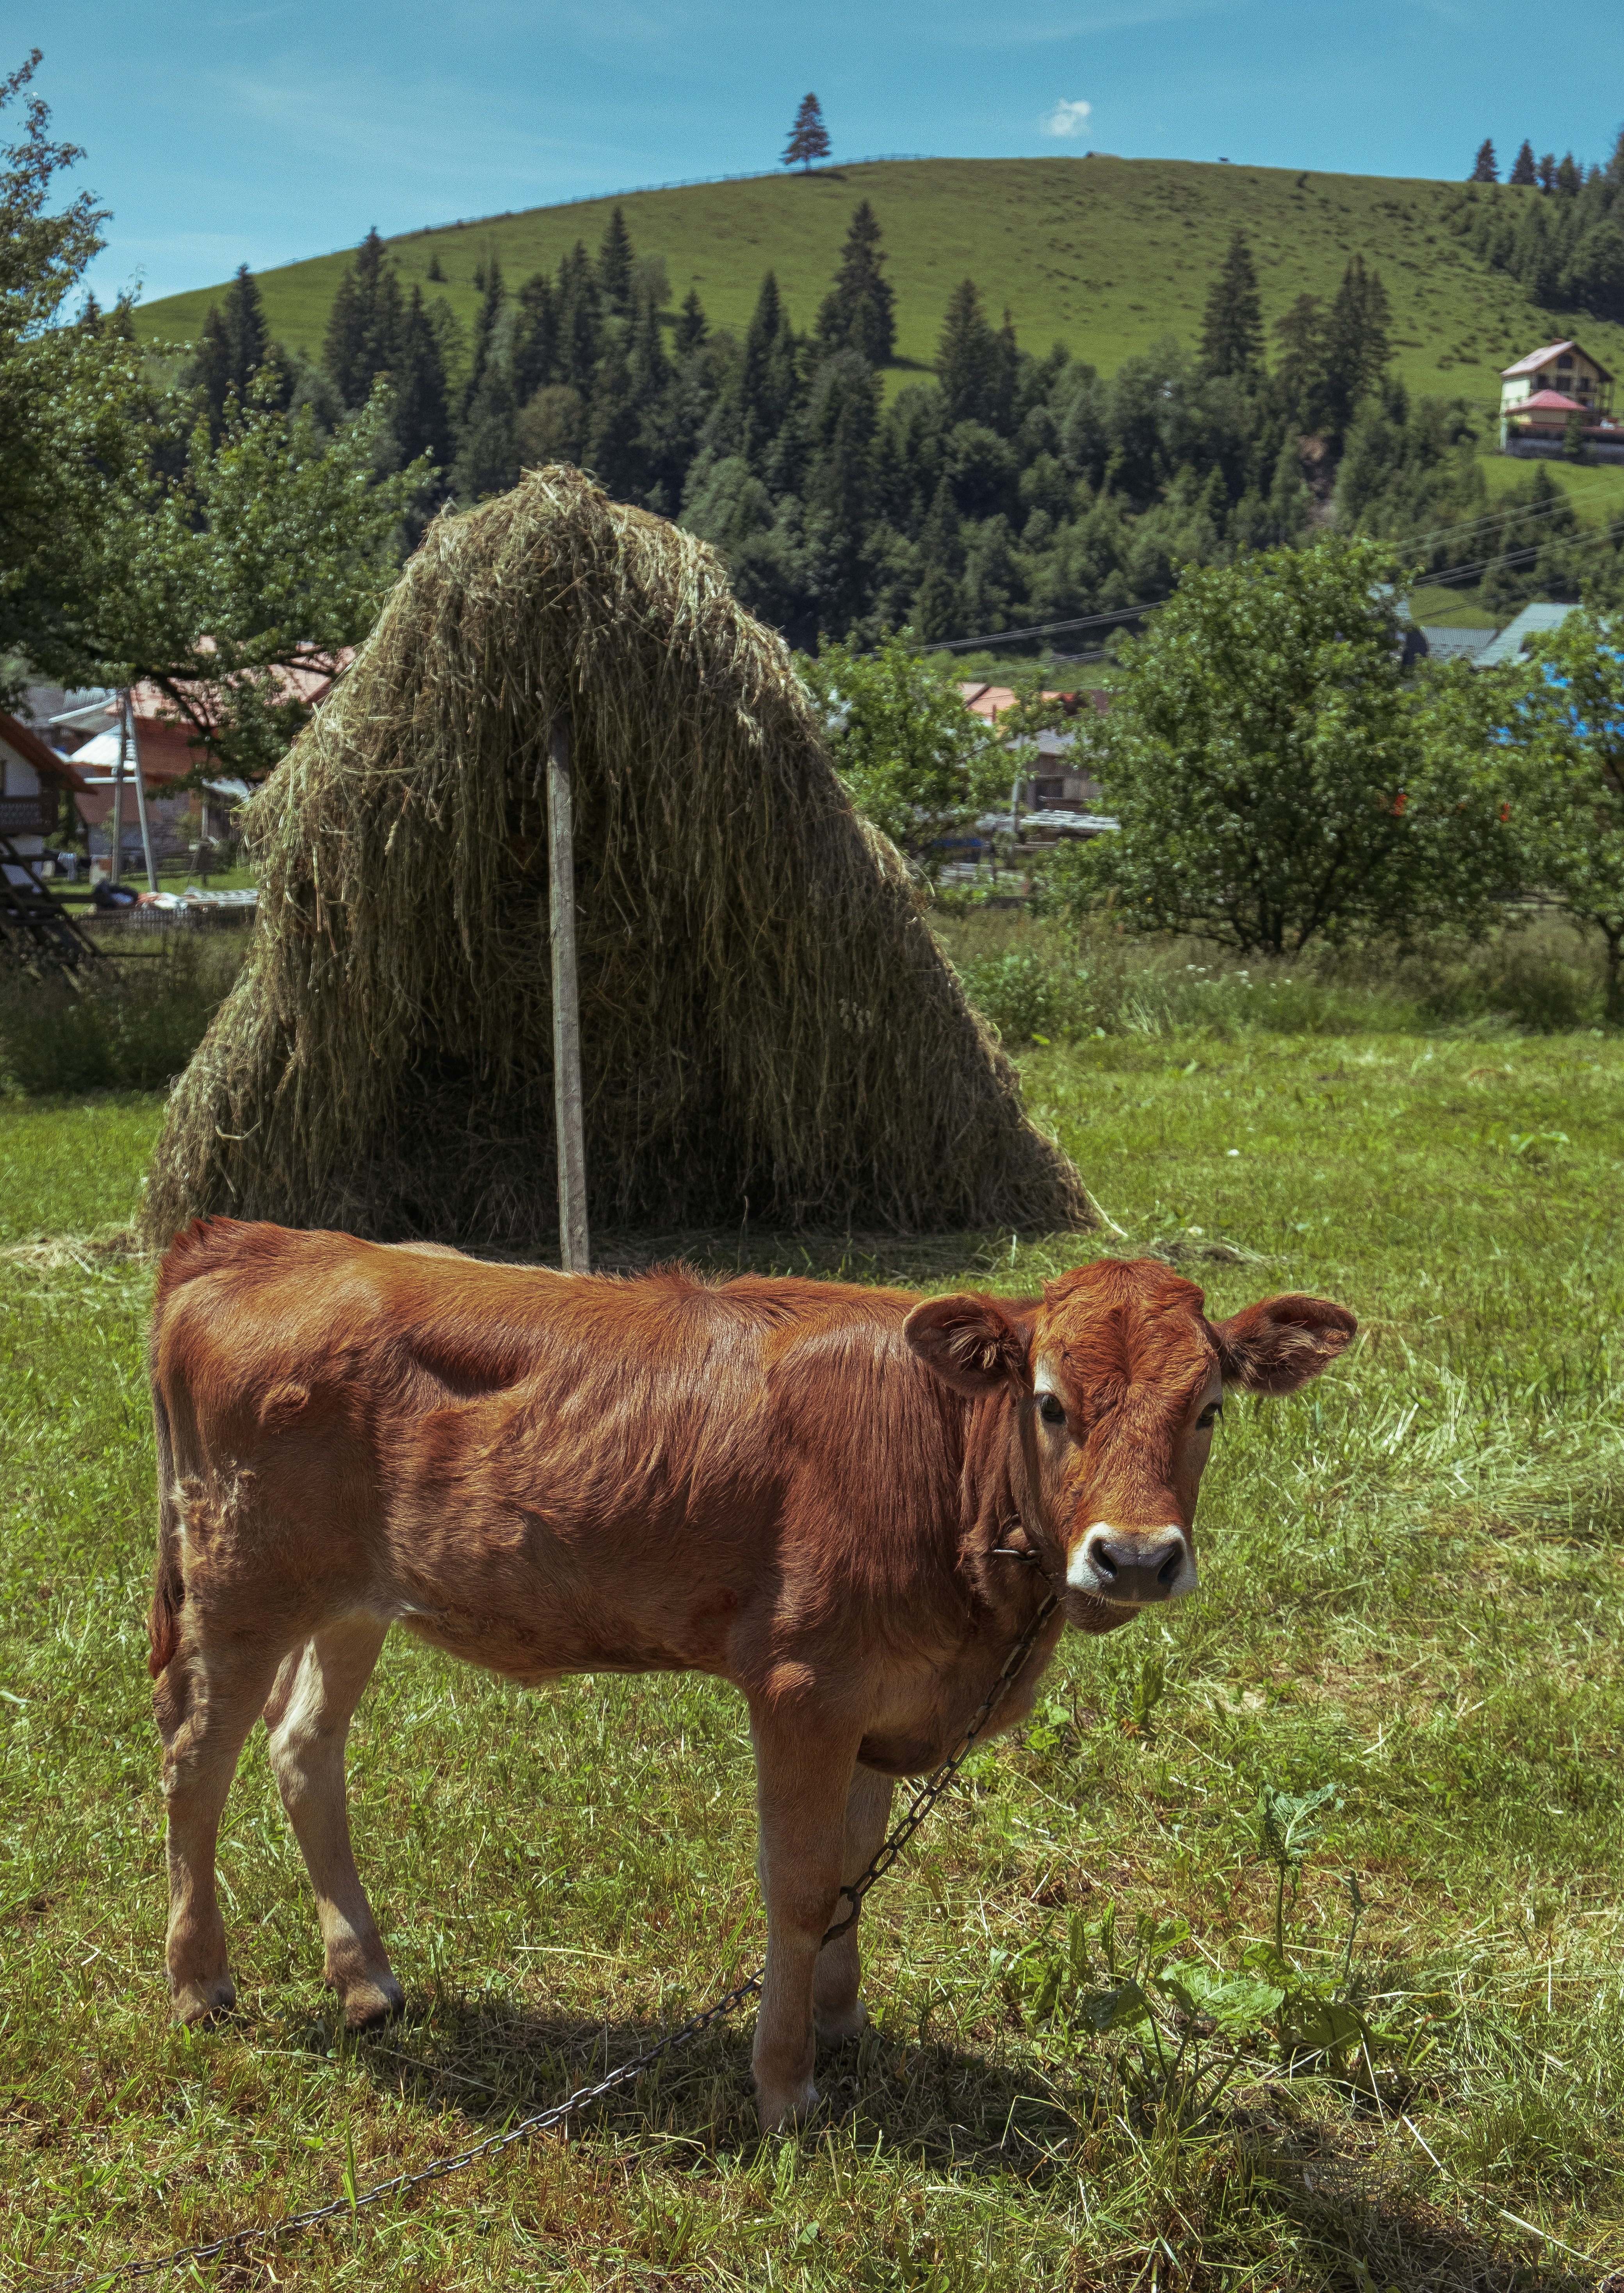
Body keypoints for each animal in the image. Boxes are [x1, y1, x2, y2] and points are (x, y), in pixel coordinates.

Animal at [146, 1219, 1355, 2129]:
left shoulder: (882, 1702)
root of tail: (258, 1241)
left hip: (352, 1598)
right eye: (1051, 1401)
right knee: (195, 1759)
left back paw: (365, 1978)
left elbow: (857, 1873)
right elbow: (803, 1882)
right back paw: (202, 1981)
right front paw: (785, 2086)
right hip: (243, 1580)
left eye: (1209, 1408)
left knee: (304, 1747)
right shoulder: (803, 1688)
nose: (1136, 1557)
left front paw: (843, 2025)